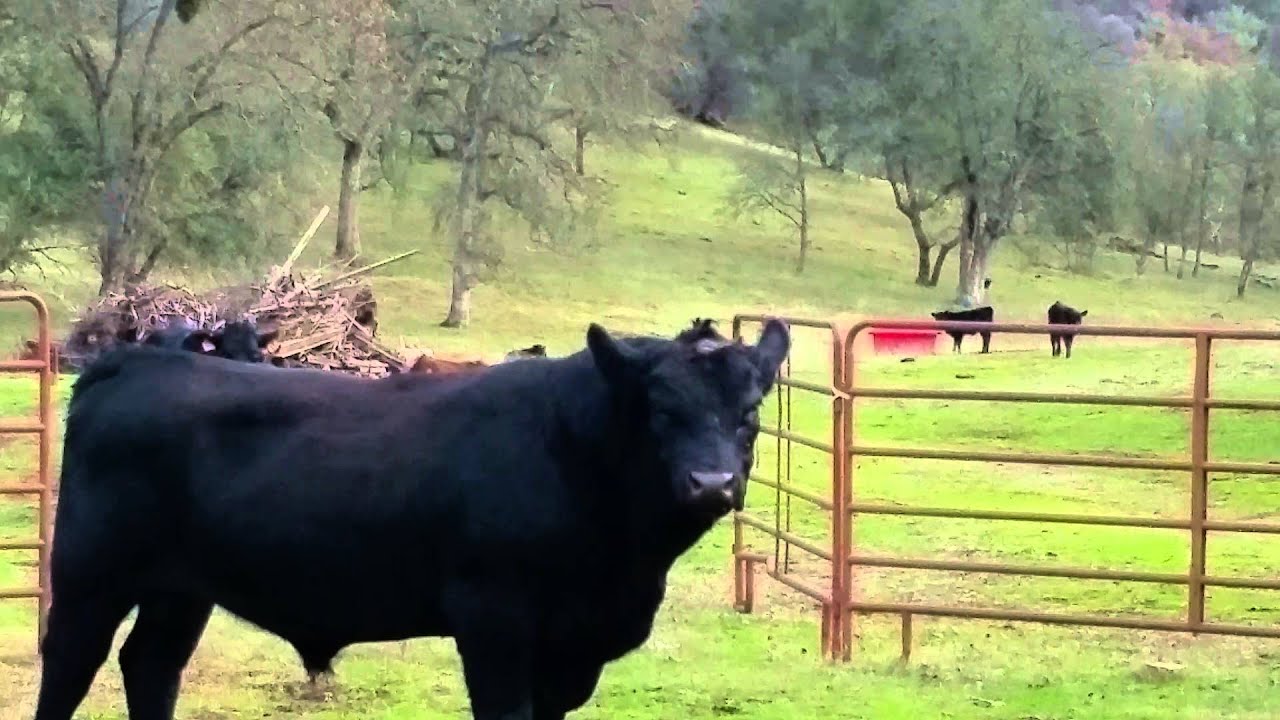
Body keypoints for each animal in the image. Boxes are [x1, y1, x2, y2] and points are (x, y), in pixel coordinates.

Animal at [32, 317, 790, 720]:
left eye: (750, 411)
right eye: (661, 410)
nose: (712, 483)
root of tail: (135, 360)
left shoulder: (572, 648)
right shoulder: (495, 622)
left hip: (180, 589)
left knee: (151, 663)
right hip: (90, 577)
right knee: (71, 662)